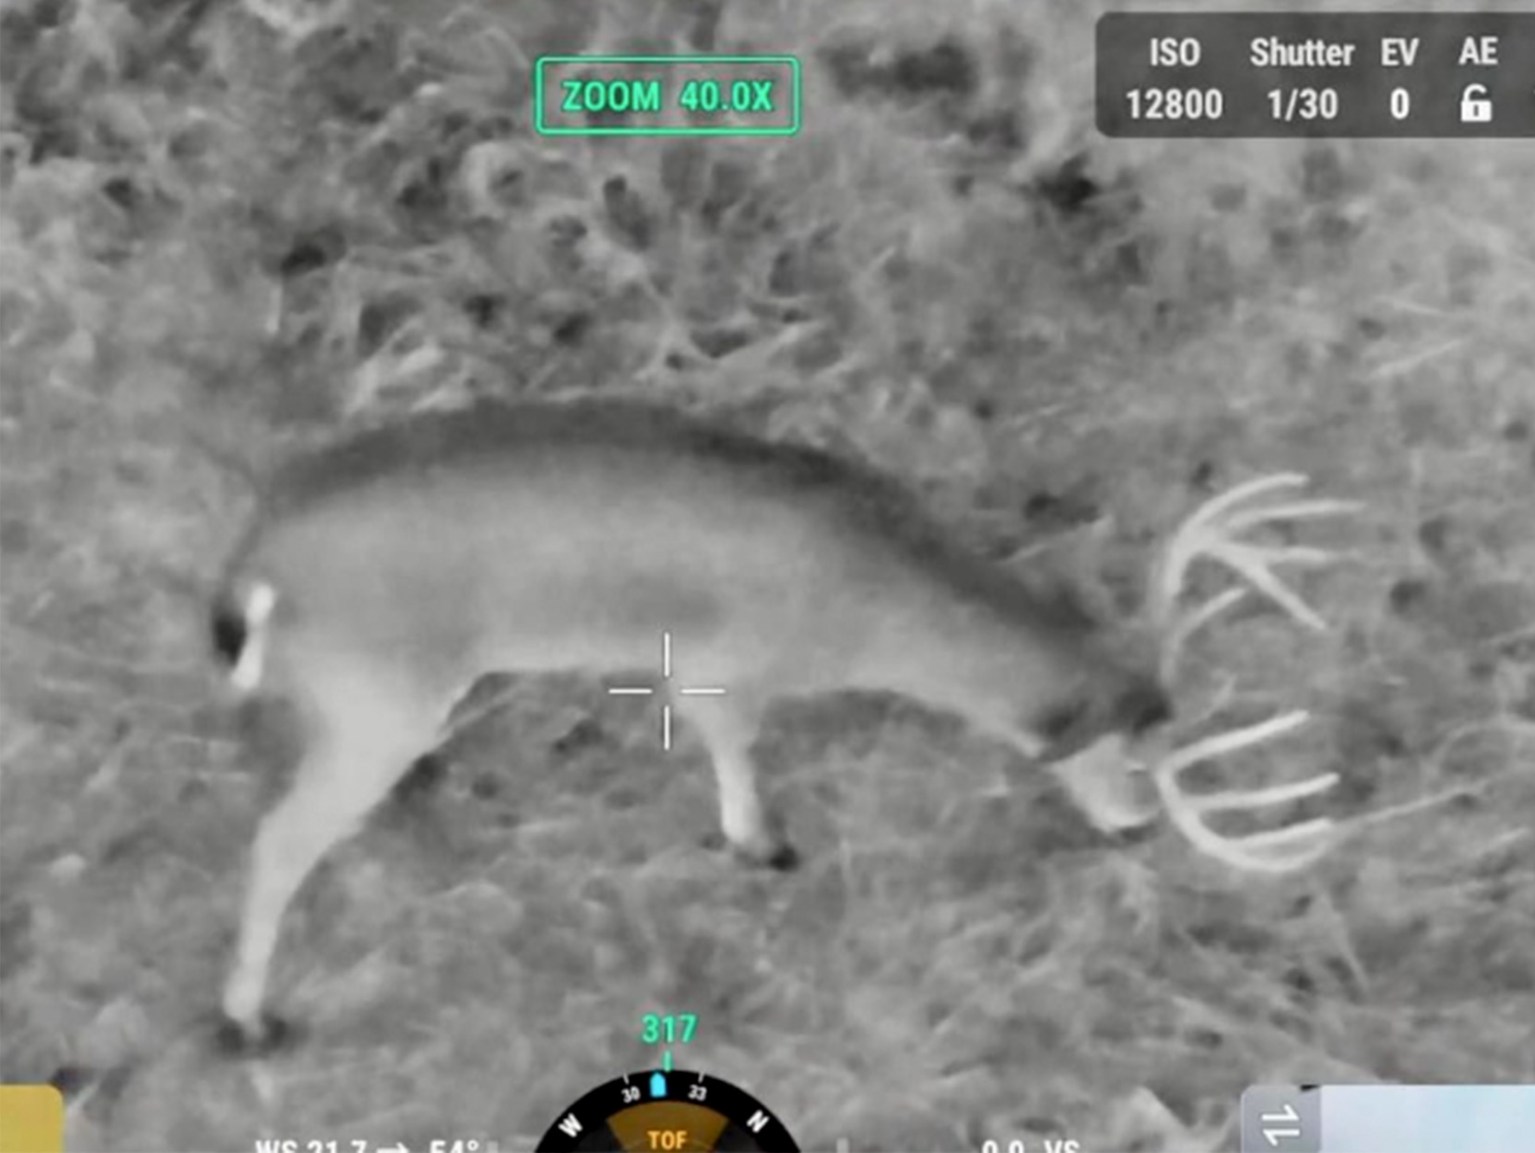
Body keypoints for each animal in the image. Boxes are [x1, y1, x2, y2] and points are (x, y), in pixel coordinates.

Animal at [208, 396, 1355, 1050]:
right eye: (1129, 755)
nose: (1136, 825)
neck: (874, 599)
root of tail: (253, 567)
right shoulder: (718, 668)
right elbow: (733, 750)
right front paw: (761, 845)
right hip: (377, 695)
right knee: (271, 841)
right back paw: (252, 1019)